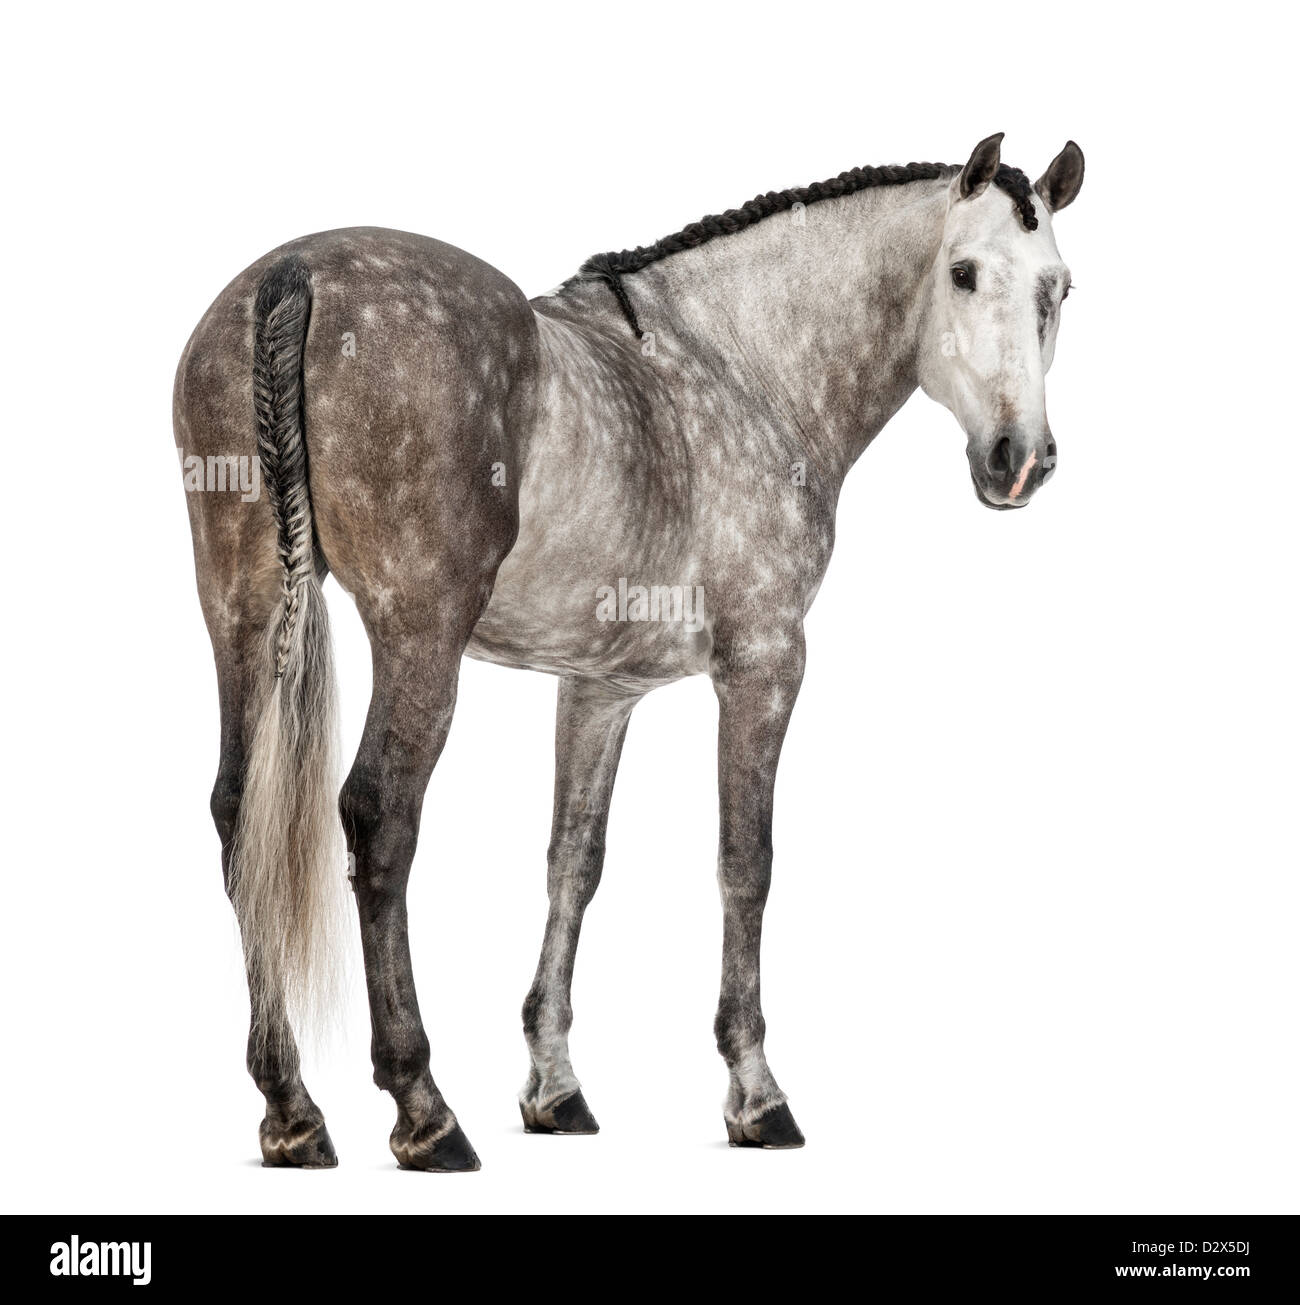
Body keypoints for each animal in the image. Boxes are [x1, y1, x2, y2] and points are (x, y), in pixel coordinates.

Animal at [173, 132, 1084, 1171]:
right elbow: (745, 860)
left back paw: (291, 1108)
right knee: (380, 819)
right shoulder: (764, 662)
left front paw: (555, 1086)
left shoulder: (598, 689)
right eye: (963, 273)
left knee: (238, 814)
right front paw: (755, 1093)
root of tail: (295, 275)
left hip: (241, 612)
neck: (738, 368)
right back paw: (422, 1107)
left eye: (1059, 286)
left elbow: (574, 860)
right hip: (417, 637)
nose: (1019, 458)